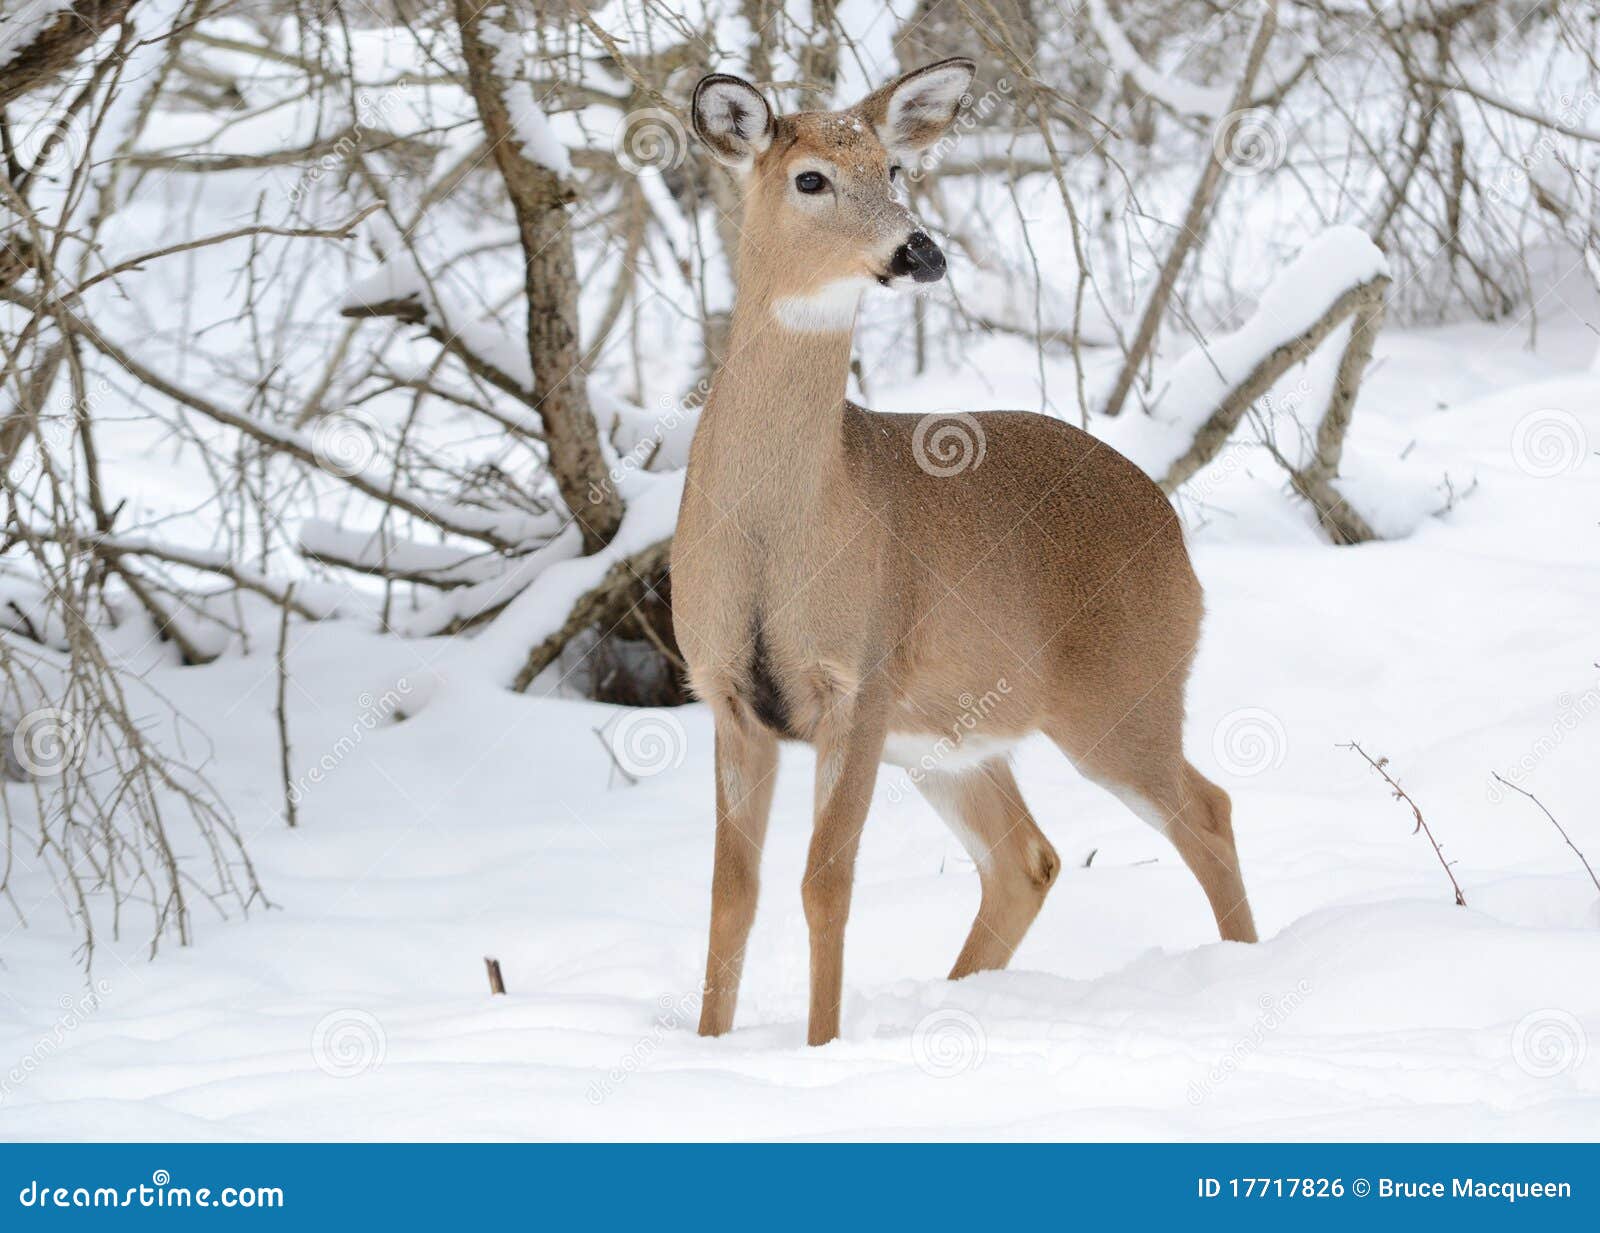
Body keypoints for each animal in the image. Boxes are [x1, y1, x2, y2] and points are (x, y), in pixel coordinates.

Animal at [671, 58, 1259, 1047]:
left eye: (894, 169)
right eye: (810, 179)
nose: (921, 251)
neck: (773, 534)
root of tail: (1173, 528)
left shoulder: (859, 678)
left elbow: (825, 884)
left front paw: (820, 1049)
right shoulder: (727, 693)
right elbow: (729, 896)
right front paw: (707, 1049)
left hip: (1124, 691)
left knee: (1207, 810)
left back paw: (1253, 976)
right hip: (956, 738)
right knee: (1029, 856)